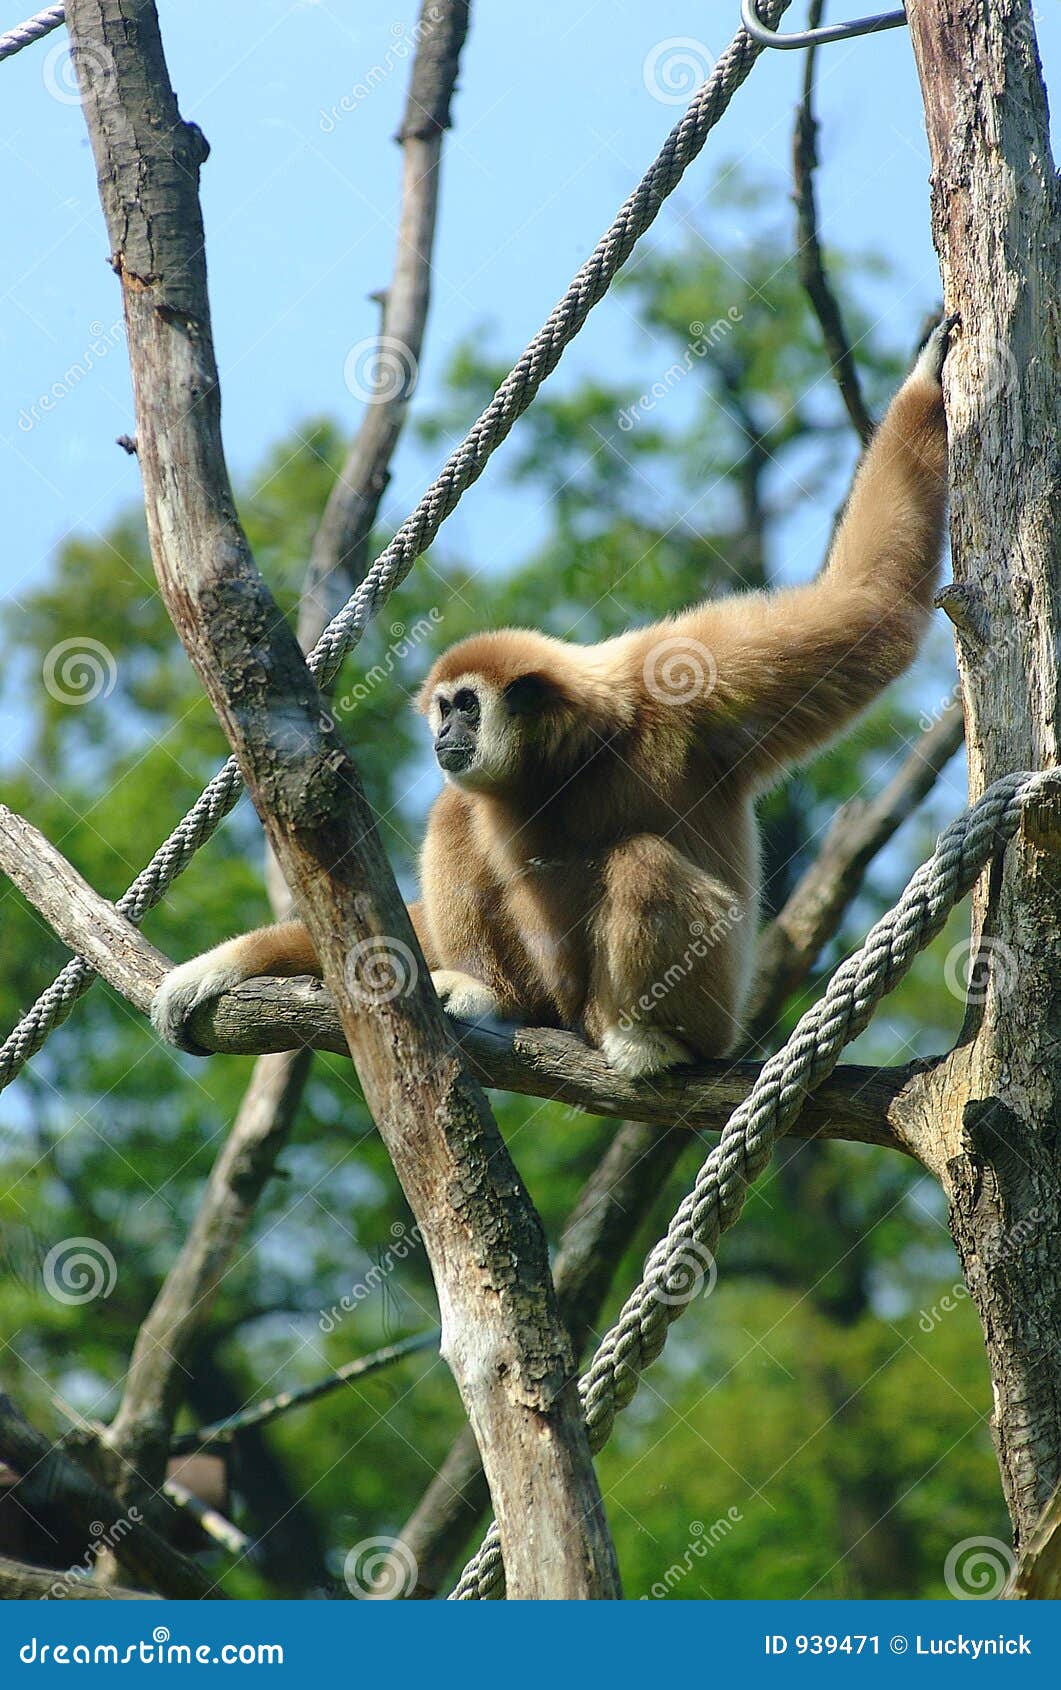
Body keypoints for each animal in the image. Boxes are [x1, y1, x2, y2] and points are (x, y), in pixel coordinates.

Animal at [152, 316, 956, 1077]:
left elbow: (871, 606)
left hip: (701, 1018)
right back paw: (488, 994)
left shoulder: (695, 677)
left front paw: (926, 383)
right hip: (546, 991)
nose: (443, 734)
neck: (576, 751)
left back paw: (650, 1039)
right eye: (442, 708)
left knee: (641, 864)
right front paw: (223, 964)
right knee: (455, 814)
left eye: (465, 705)